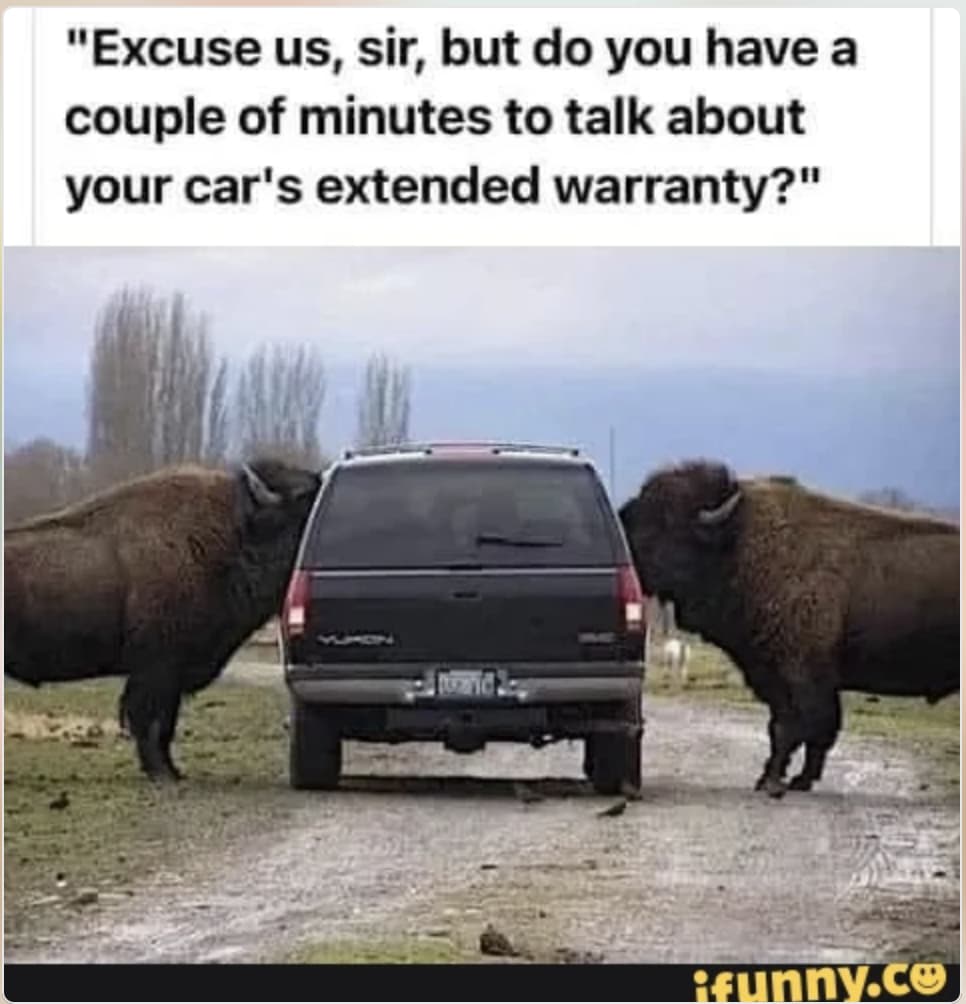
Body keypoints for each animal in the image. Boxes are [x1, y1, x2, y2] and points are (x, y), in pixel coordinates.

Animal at [5, 458, 321, 781]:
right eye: (302, 506)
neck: (231, 535)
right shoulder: (158, 667)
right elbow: (151, 720)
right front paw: (162, 774)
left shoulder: (171, 674)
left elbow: (165, 724)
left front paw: (172, 771)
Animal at [619, 460, 959, 797]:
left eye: (664, 522)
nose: (622, 533)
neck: (739, 542)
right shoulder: (776, 675)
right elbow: (801, 730)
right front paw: (796, 780)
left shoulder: (800, 677)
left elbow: (793, 728)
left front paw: (773, 781)